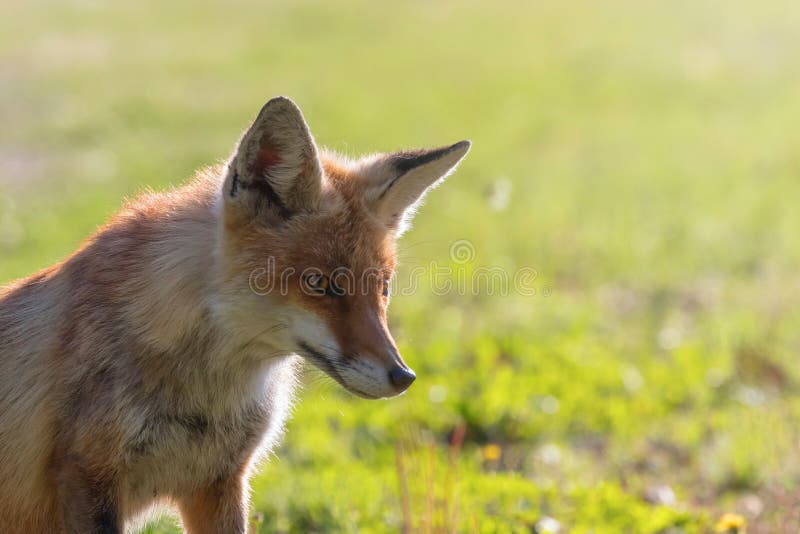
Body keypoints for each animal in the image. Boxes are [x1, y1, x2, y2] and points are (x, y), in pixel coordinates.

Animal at [0, 97, 471, 533]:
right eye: (319, 284)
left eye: (383, 288)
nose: (403, 377)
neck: (207, 395)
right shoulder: (87, 473)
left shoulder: (219, 479)